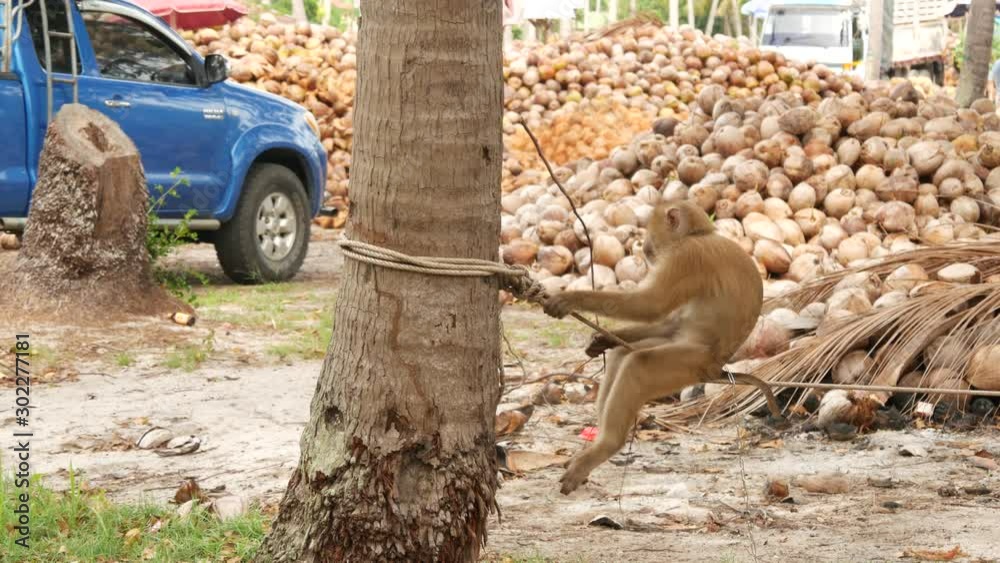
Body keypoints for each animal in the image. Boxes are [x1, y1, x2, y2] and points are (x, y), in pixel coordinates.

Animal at [542, 199, 780, 495]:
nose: (645, 249)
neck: (700, 235)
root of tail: (716, 369)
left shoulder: (685, 258)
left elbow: (651, 305)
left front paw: (570, 298)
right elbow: (668, 320)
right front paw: (604, 339)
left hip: (690, 364)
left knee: (639, 365)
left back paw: (607, 444)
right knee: (627, 354)